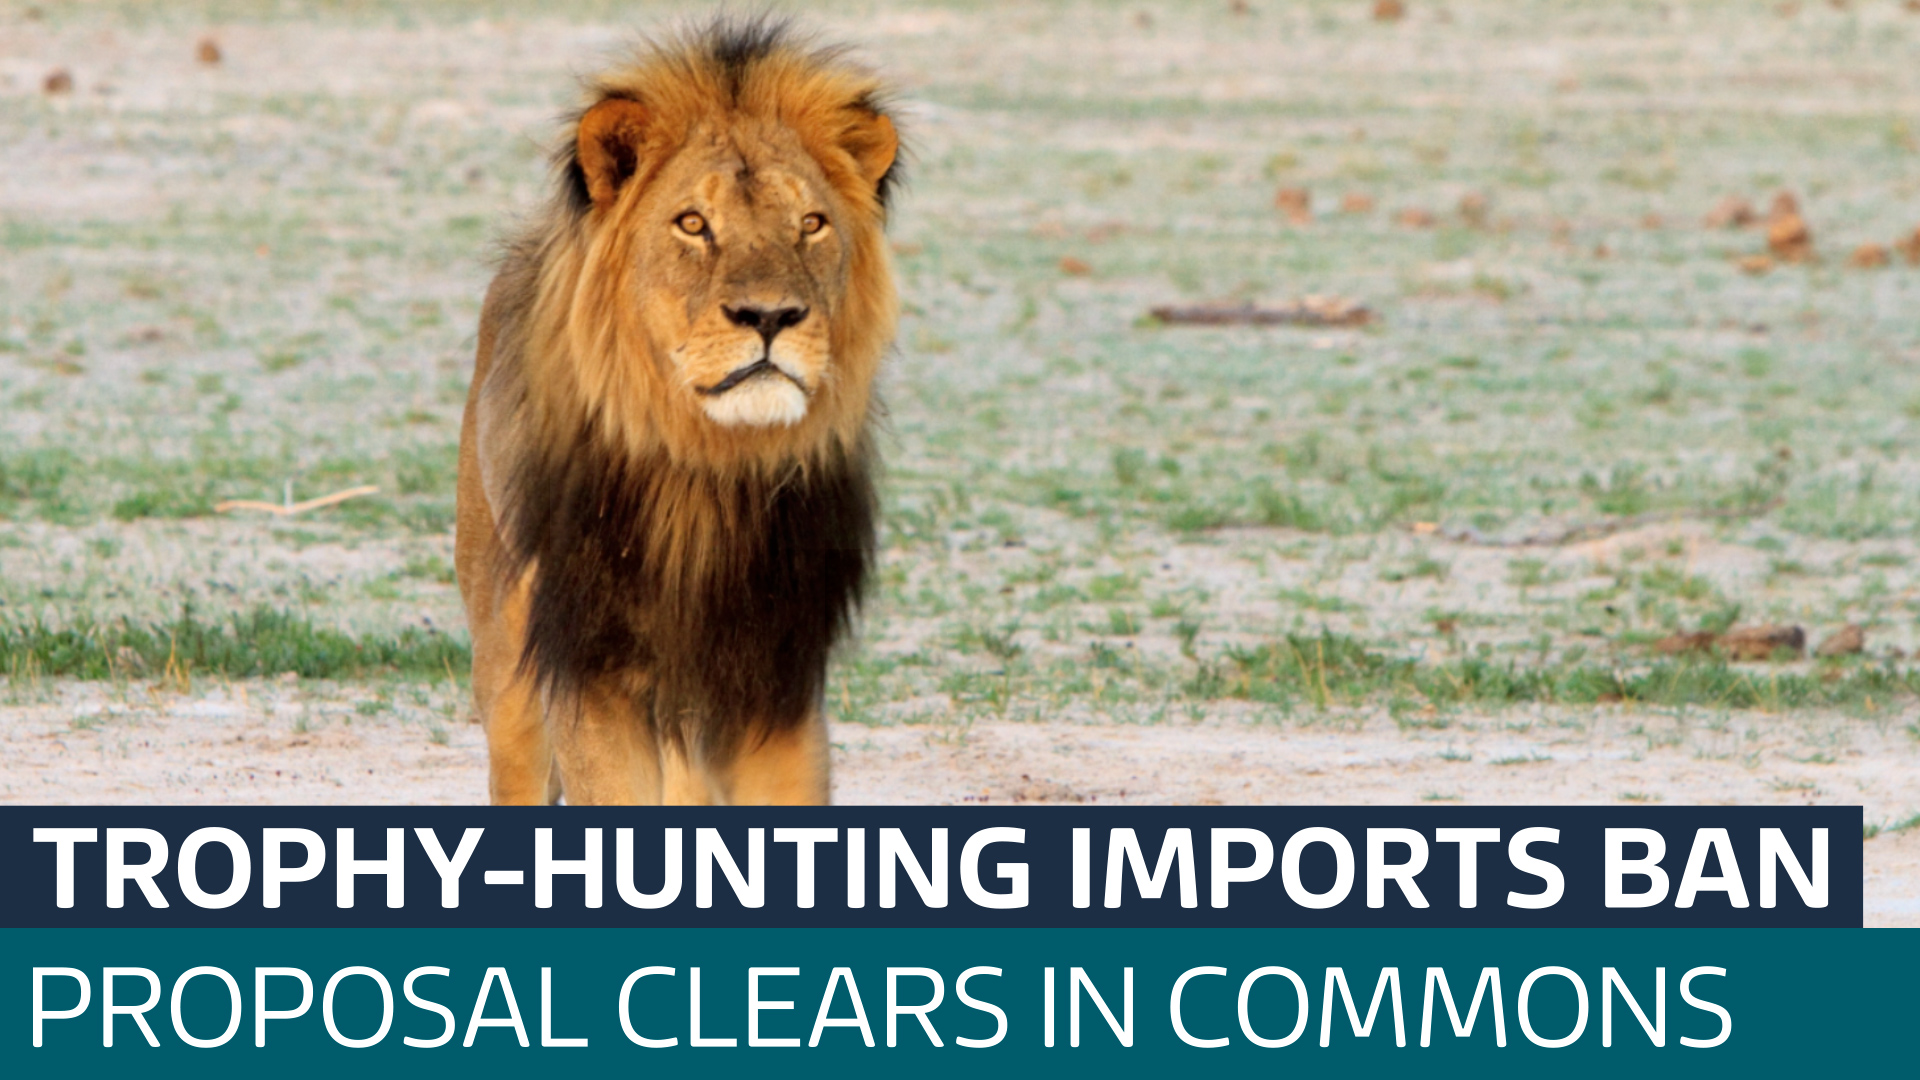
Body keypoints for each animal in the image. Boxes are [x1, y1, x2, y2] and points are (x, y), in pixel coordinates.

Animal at [454, 18, 901, 805]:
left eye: (811, 223)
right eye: (693, 223)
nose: (770, 315)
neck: (707, 467)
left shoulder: (777, 672)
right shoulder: (592, 663)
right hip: (506, 656)